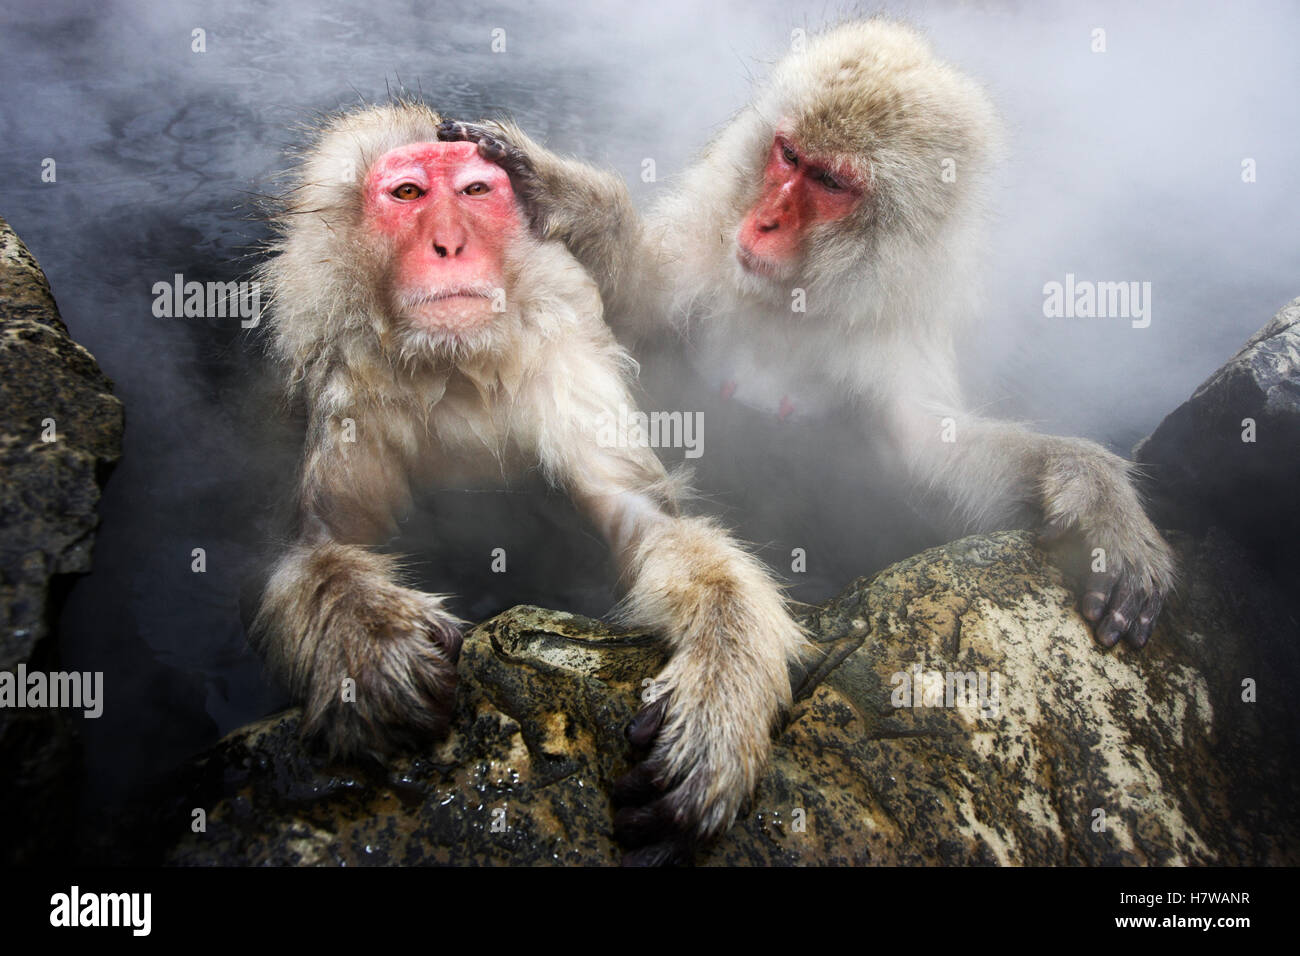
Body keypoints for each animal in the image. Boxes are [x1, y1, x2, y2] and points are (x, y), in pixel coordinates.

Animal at [250, 101, 808, 866]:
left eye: (476, 192)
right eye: (407, 194)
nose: (450, 244)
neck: (455, 363)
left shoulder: (564, 365)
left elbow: (648, 522)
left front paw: (720, 695)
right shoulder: (351, 390)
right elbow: (327, 542)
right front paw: (370, 640)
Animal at [437, 18, 1175, 662]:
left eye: (829, 182)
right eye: (787, 154)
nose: (763, 221)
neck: (791, 303)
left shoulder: (894, 342)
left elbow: (923, 446)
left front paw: (1092, 492)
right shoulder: (706, 263)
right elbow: (639, 312)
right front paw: (554, 187)